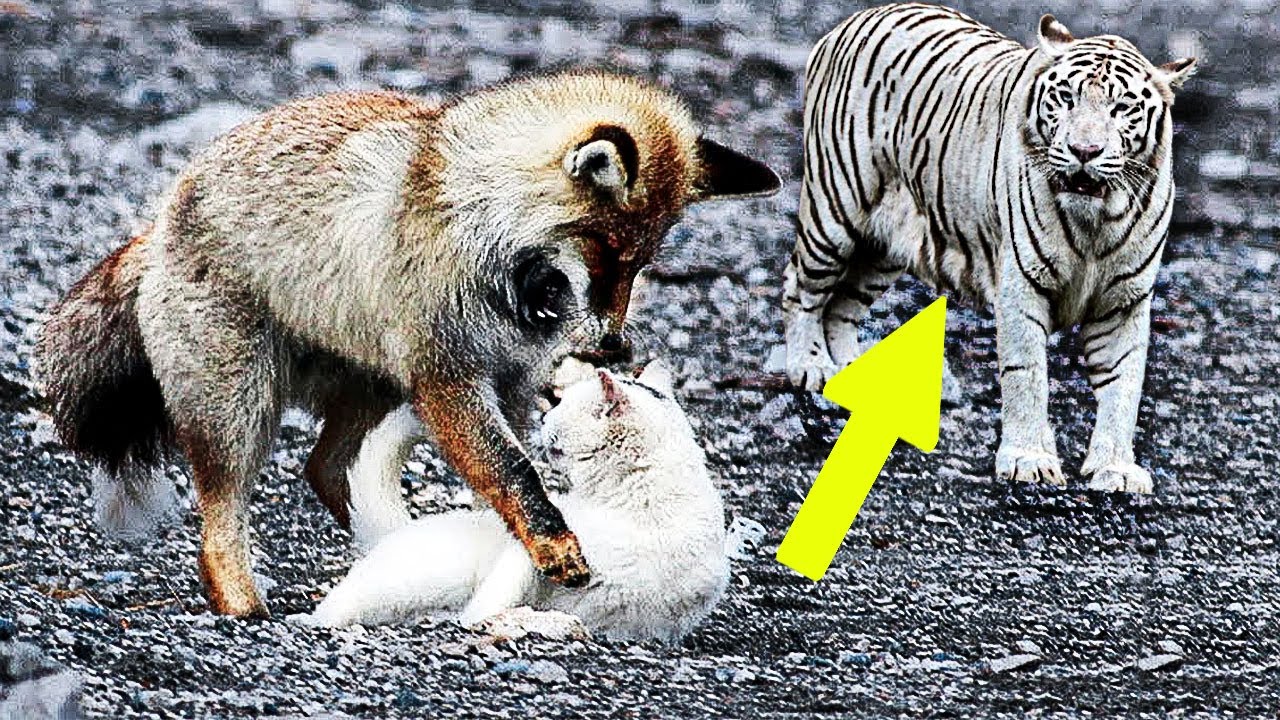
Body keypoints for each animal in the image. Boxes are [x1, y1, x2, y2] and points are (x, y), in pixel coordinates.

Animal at [296, 363, 729, 644]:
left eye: (561, 409)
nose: (542, 420)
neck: (642, 508)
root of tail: (402, 529)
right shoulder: (540, 549)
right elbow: (497, 596)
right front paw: (497, 618)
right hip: (414, 580)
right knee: (339, 605)